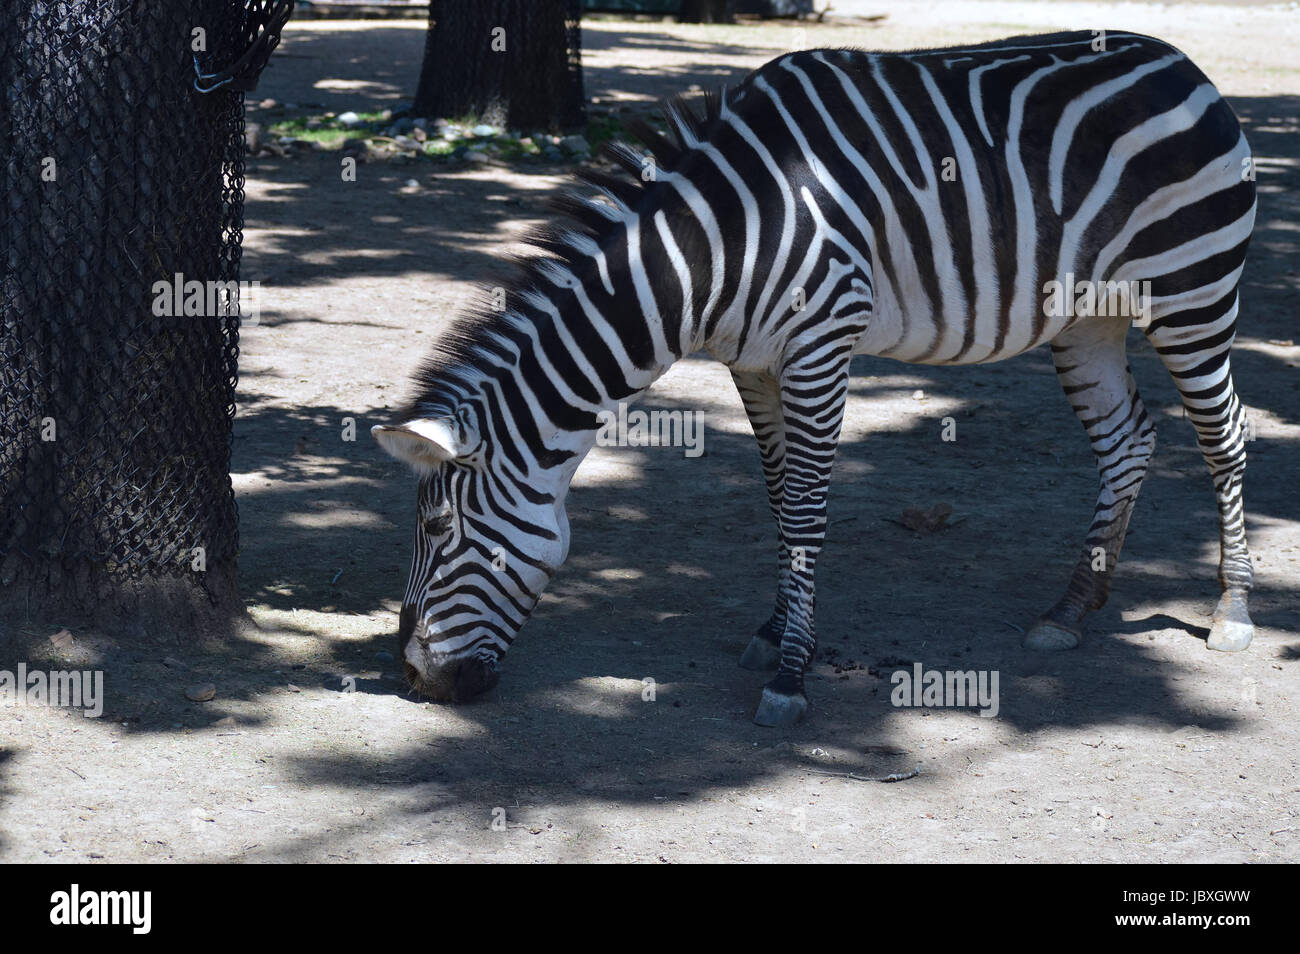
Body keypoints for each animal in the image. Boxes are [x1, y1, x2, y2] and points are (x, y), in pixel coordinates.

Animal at [373, 31, 1258, 727]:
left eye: (436, 530)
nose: (415, 679)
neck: (715, 244)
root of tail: (1178, 61)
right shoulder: (754, 362)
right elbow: (775, 494)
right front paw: (773, 633)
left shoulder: (822, 344)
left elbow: (804, 510)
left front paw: (792, 674)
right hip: (1089, 318)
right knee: (1126, 441)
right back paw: (1071, 609)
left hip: (1194, 290)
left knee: (1225, 436)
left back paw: (1233, 612)